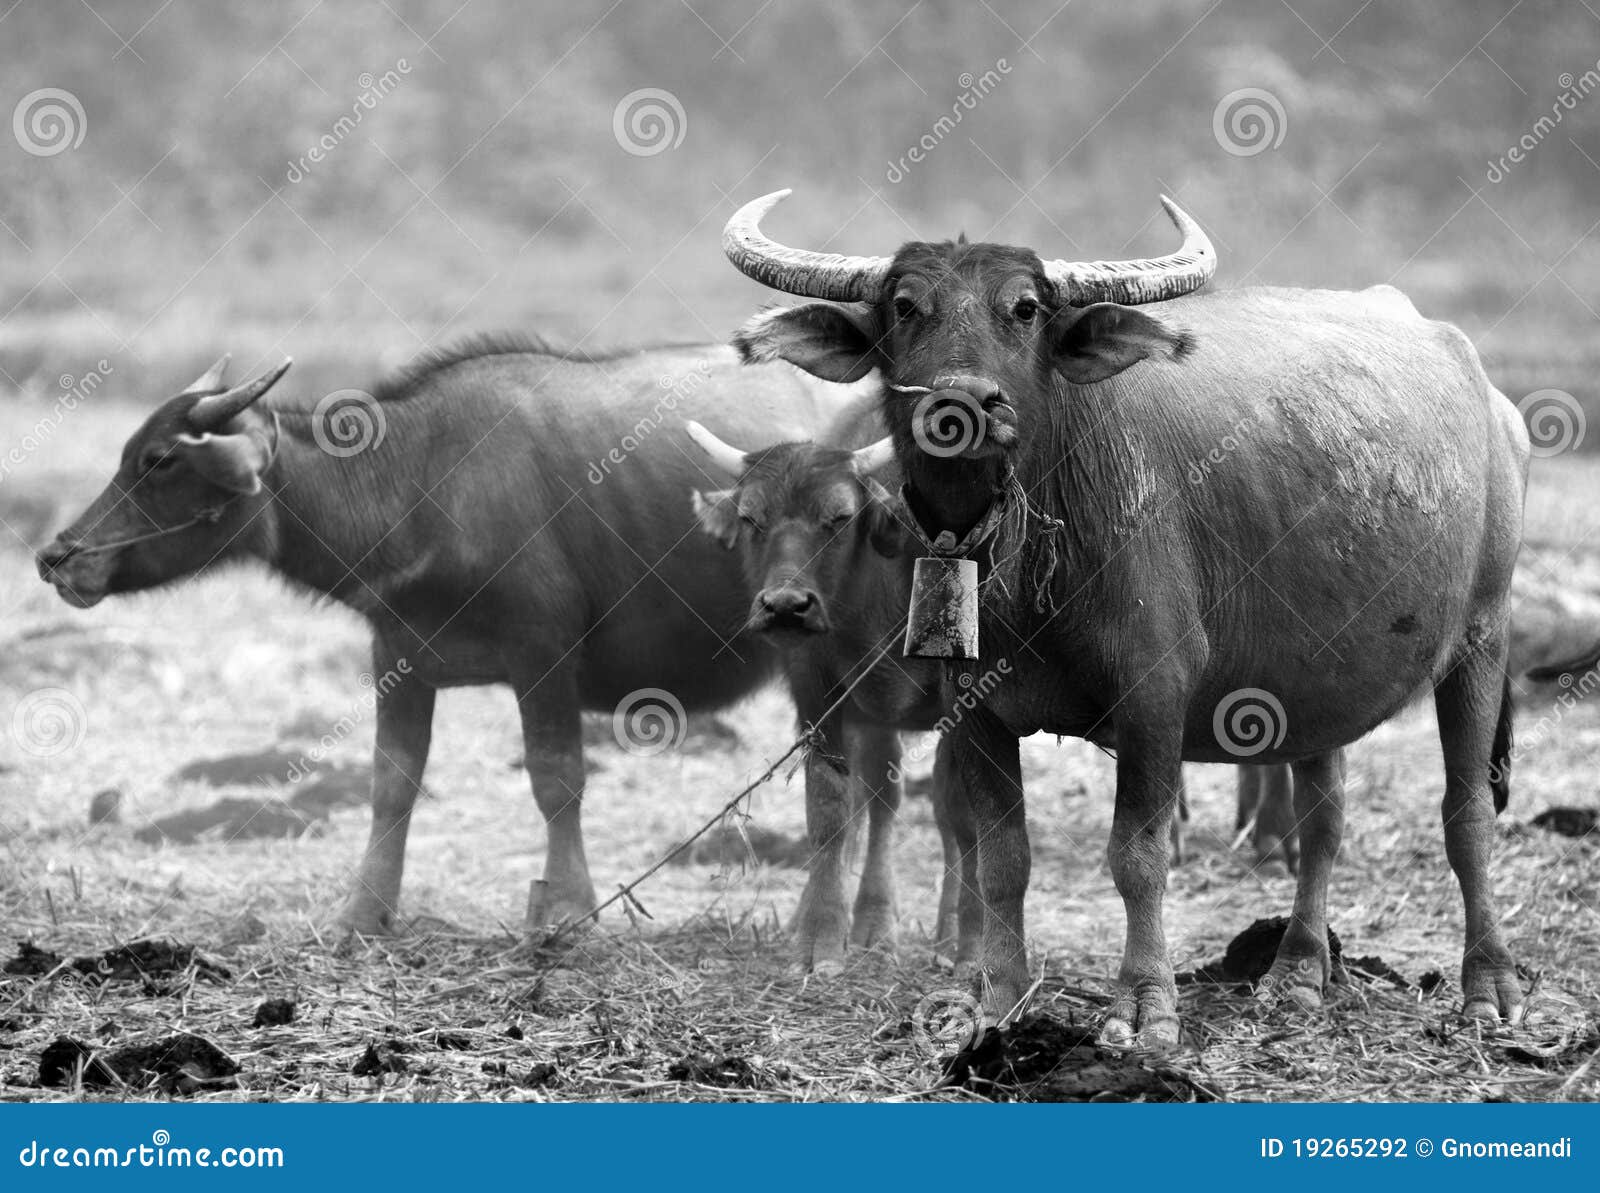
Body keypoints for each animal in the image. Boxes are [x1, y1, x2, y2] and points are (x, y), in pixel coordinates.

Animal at [37, 338, 862, 938]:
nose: (57, 556)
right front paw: (363, 913)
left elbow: (556, 778)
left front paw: (567, 909)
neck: (422, 483)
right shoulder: (397, 659)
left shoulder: (541, 654)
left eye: (159, 460)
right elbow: (391, 783)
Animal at [721, 190, 1528, 1046]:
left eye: (1025, 307)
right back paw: (1299, 971)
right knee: (1323, 818)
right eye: (905, 305)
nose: (963, 403)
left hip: (1482, 638)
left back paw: (1489, 987)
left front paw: (1145, 1001)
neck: (1020, 554)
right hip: (1317, 683)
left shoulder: (1154, 692)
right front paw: (999, 997)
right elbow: (1002, 857)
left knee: (1468, 813)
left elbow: (1137, 854)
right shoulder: (972, 710)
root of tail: (1492, 401)